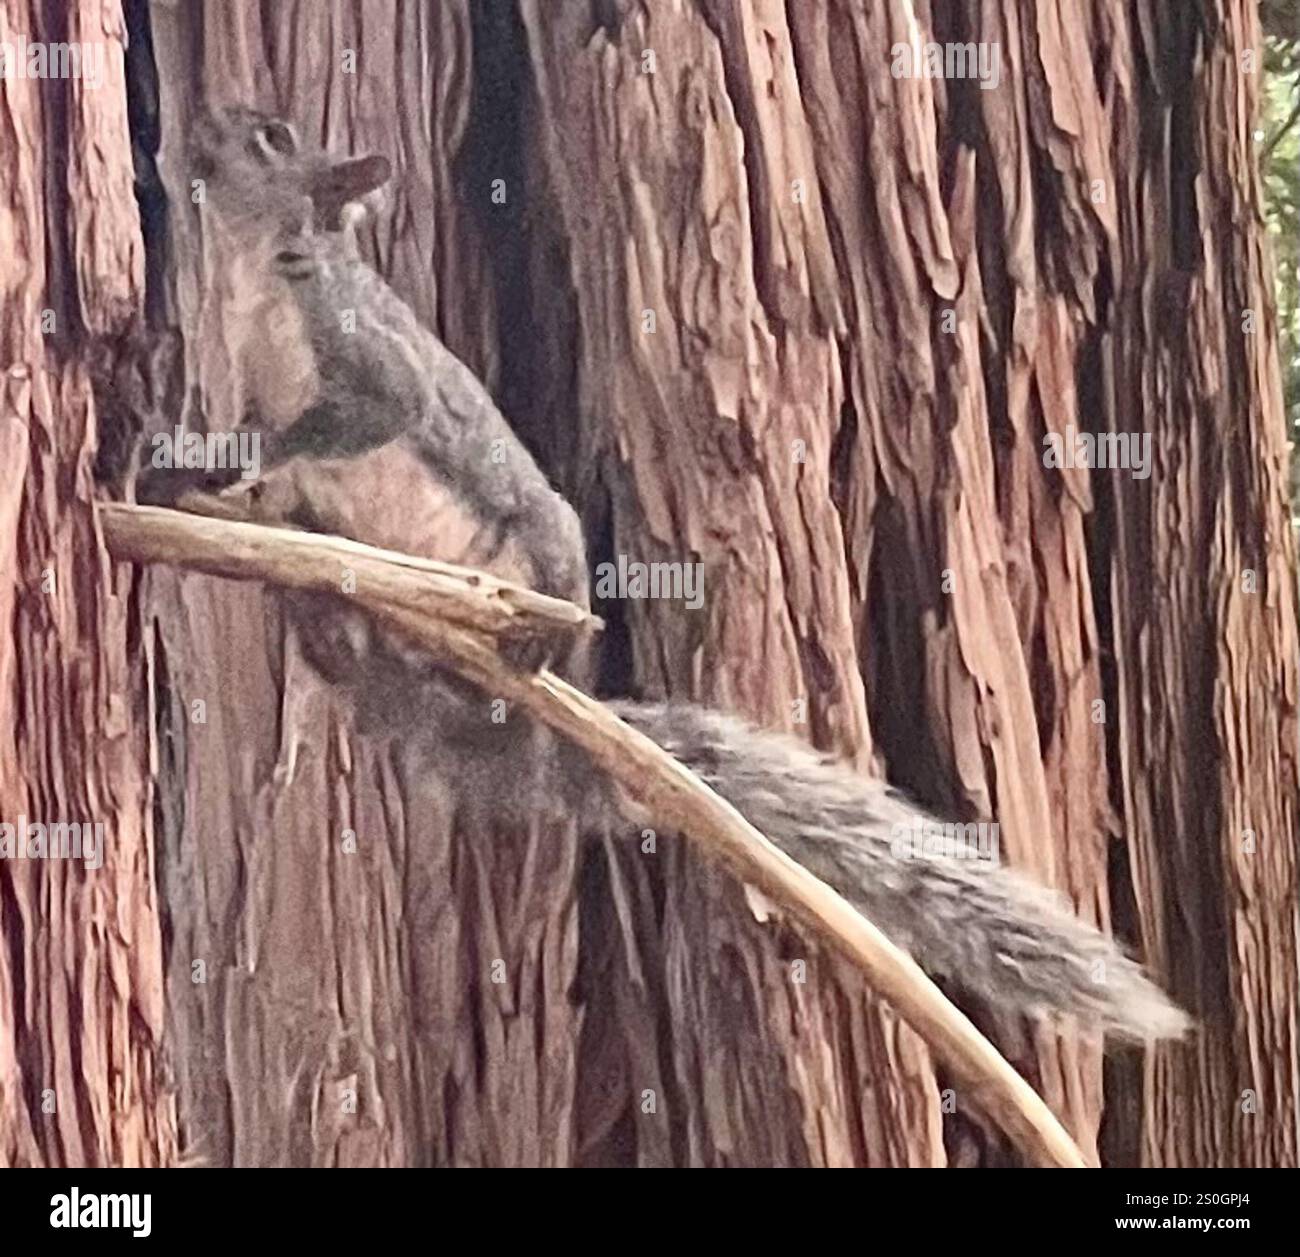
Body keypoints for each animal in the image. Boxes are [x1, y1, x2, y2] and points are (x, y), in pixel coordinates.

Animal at [154, 106, 1190, 1046]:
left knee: (557, 592)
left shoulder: (366, 352)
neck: (255, 281)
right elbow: (262, 461)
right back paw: (328, 613)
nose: (196, 123)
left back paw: (538, 638)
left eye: (274, 138)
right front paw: (192, 472)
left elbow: (373, 411)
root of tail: (520, 728)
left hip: (543, 547)